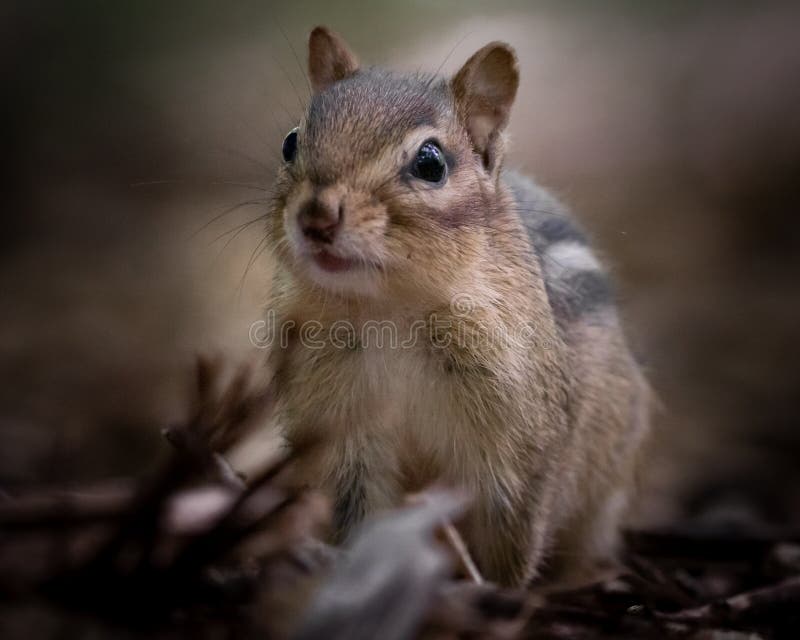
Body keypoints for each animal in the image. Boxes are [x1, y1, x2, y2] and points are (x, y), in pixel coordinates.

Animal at [259, 26, 651, 587]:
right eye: (291, 142)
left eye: (430, 163)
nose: (316, 217)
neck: (389, 312)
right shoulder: (341, 433)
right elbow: (358, 511)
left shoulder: (518, 445)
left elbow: (511, 532)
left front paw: (500, 594)